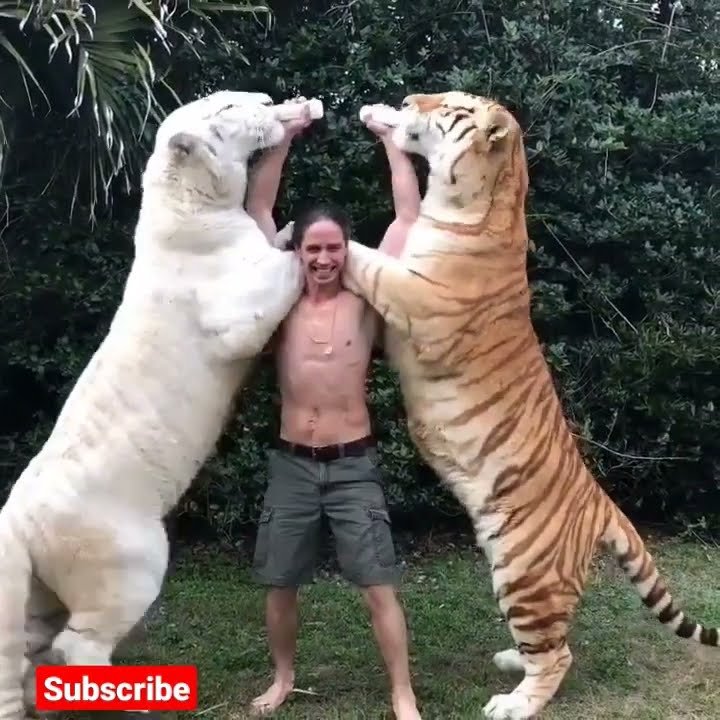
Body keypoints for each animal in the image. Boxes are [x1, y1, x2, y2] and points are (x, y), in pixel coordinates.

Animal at [0, 90, 312, 720]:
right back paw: (129, 704)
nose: (270, 98)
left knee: (34, 648)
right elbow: (275, 279)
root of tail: (15, 519)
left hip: (40, 593)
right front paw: (301, 232)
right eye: (228, 106)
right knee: (78, 643)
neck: (189, 203)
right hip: (131, 560)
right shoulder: (235, 312)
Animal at [342, 91, 719, 719]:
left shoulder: (414, 297)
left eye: (451, 106)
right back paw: (511, 662)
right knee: (550, 646)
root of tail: (603, 503)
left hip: (523, 572)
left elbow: (364, 259)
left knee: (558, 654)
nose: (410, 98)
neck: (473, 199)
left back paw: (513, 702)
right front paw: (378, 120)